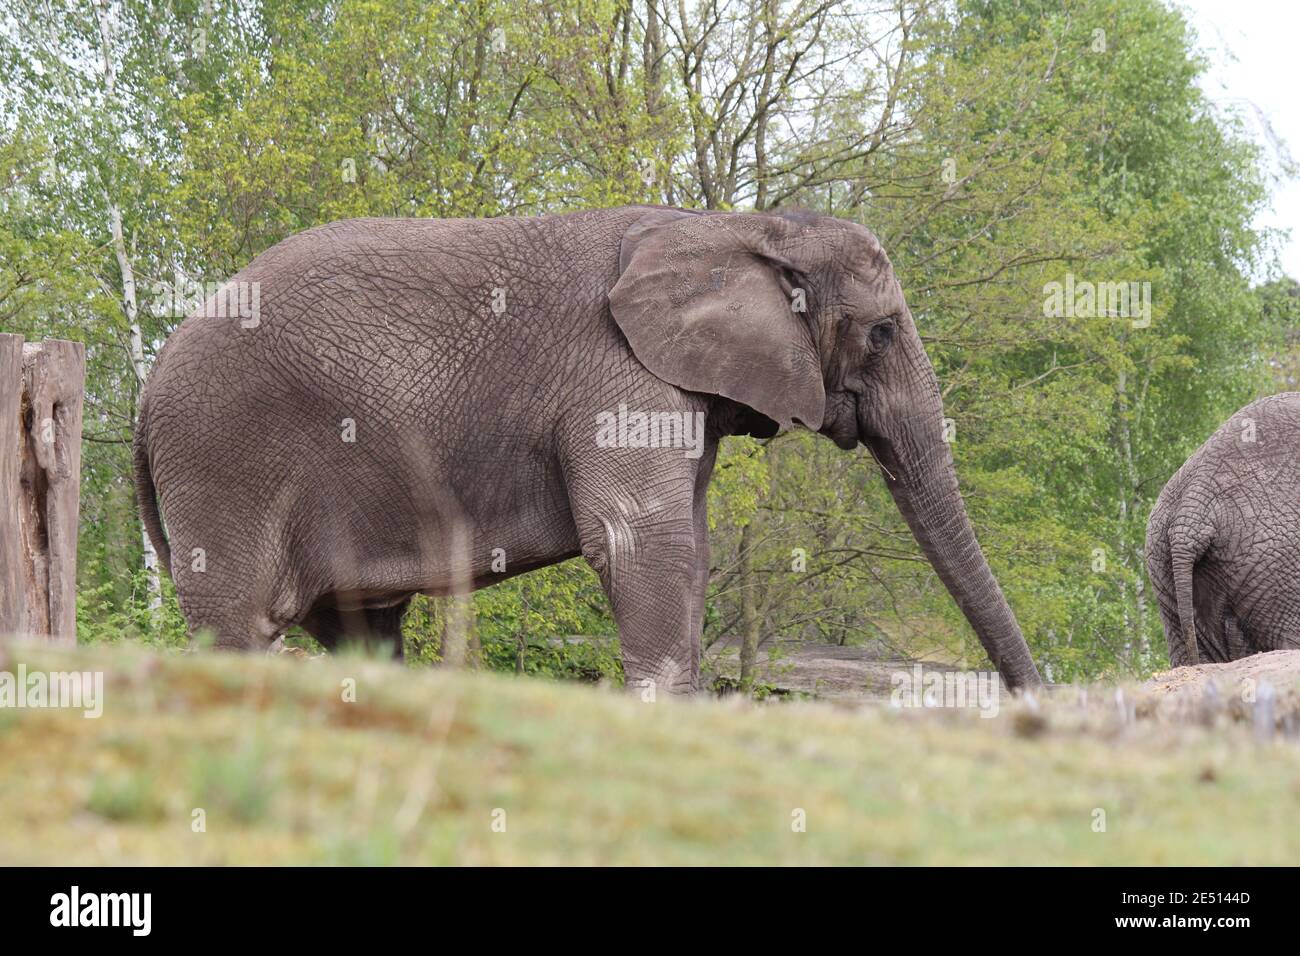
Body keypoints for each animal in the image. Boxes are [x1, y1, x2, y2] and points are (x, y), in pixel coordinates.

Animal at [133, 205, 1043, 693]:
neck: (737, 226)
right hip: (223, 454)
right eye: (883, 331)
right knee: (241, 625)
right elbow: (641, 542)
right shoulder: (619, 376)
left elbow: (689, 547)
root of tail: (146, 389)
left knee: (361, 628)